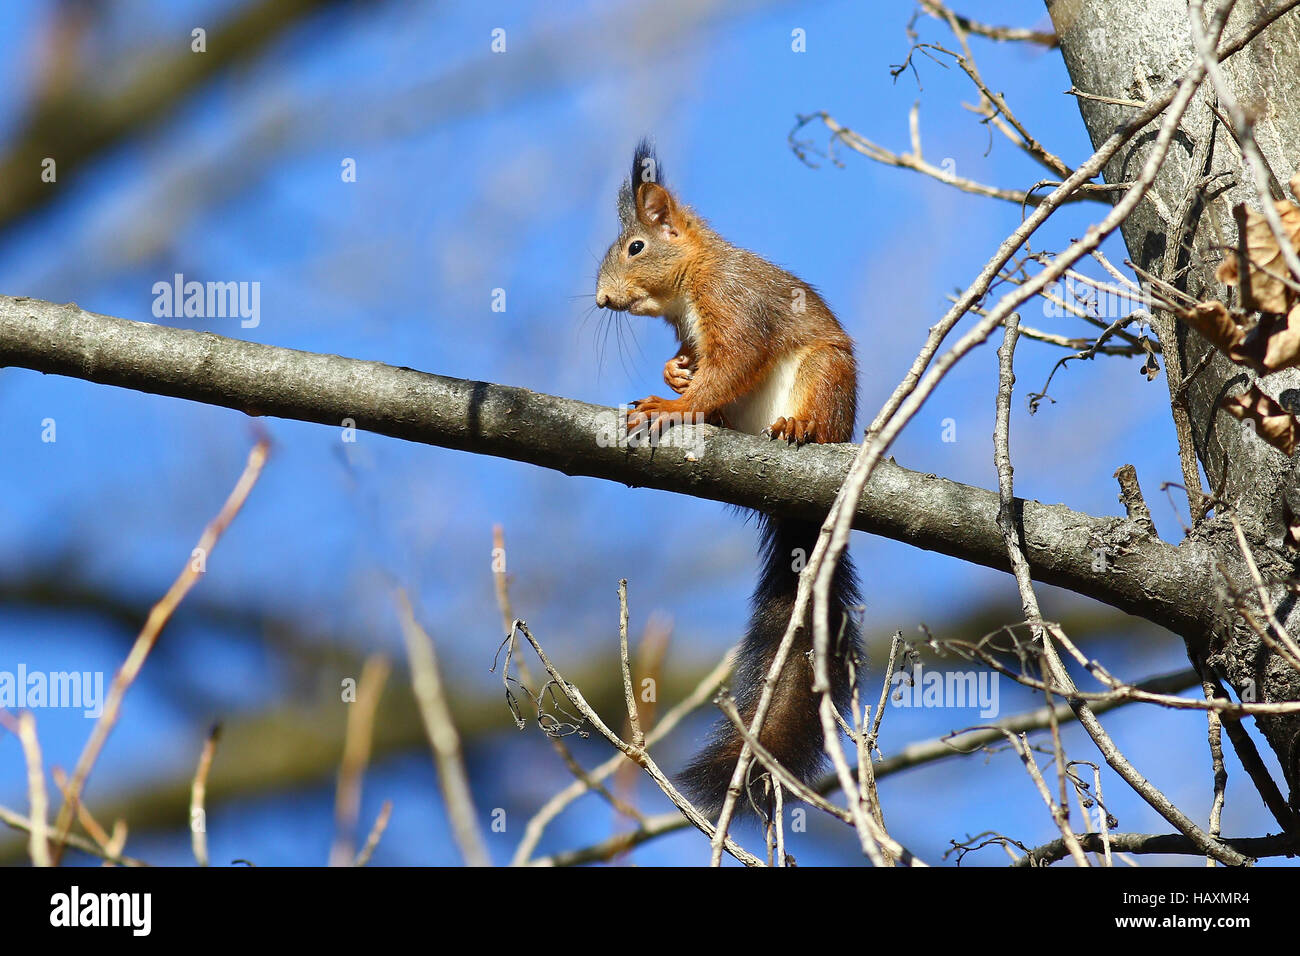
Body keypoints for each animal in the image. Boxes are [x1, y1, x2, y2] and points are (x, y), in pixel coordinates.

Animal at [594, 141, 862, 815]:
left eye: (635, 248)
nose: (602, 299)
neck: (694, 278)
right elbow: (703, 369)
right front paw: (675, 375)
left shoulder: (735, 303)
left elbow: (735, 359)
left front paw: (669, 408)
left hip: (826, 377)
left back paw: (800, 429)